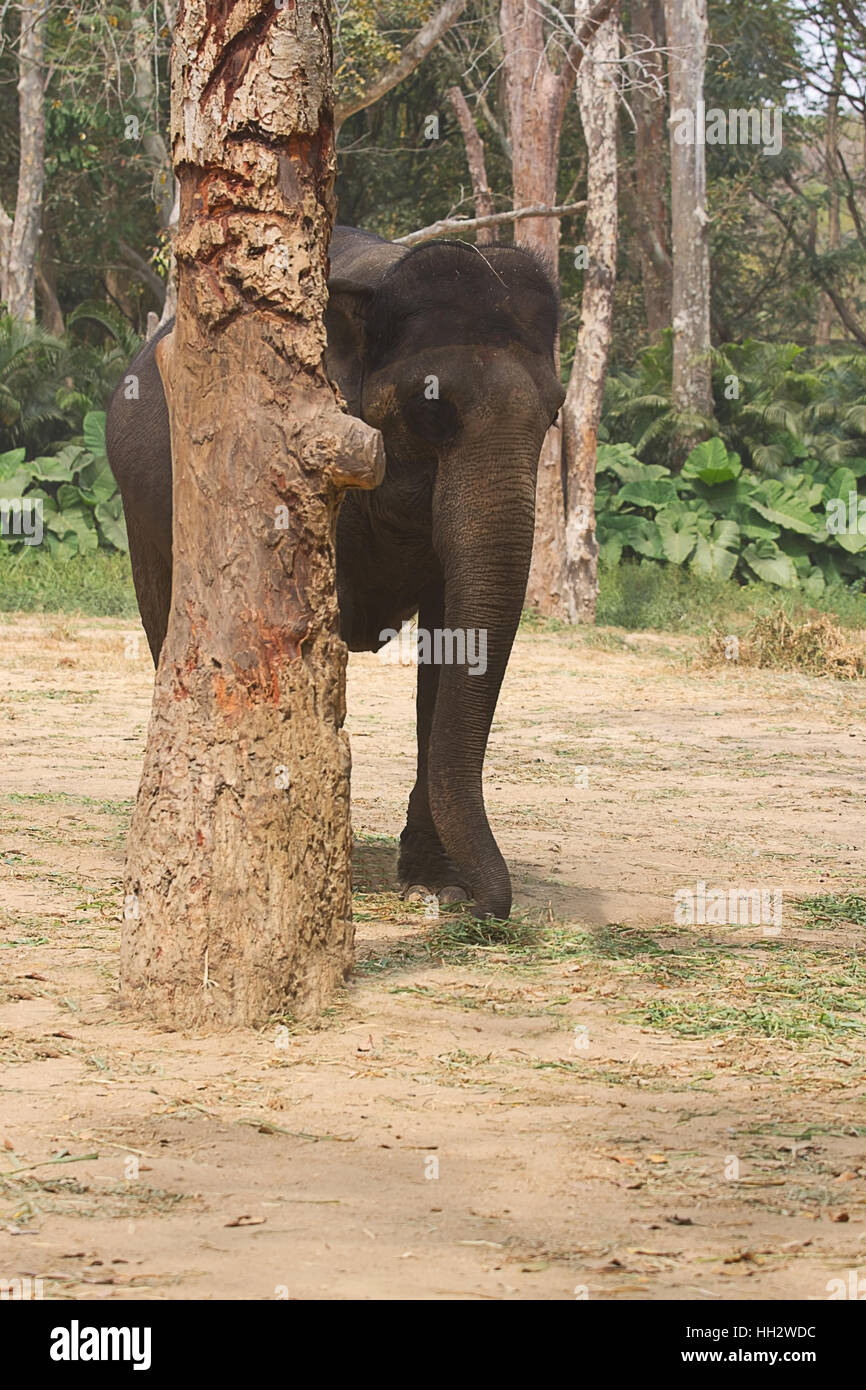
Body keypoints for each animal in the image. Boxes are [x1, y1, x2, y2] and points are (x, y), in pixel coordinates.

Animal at [106, 225, 565, 919]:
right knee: (167, 628)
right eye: (432, 409)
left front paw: (433, 881)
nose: (485, 910)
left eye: (556, 411)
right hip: (145, 514)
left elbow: (450, 646)